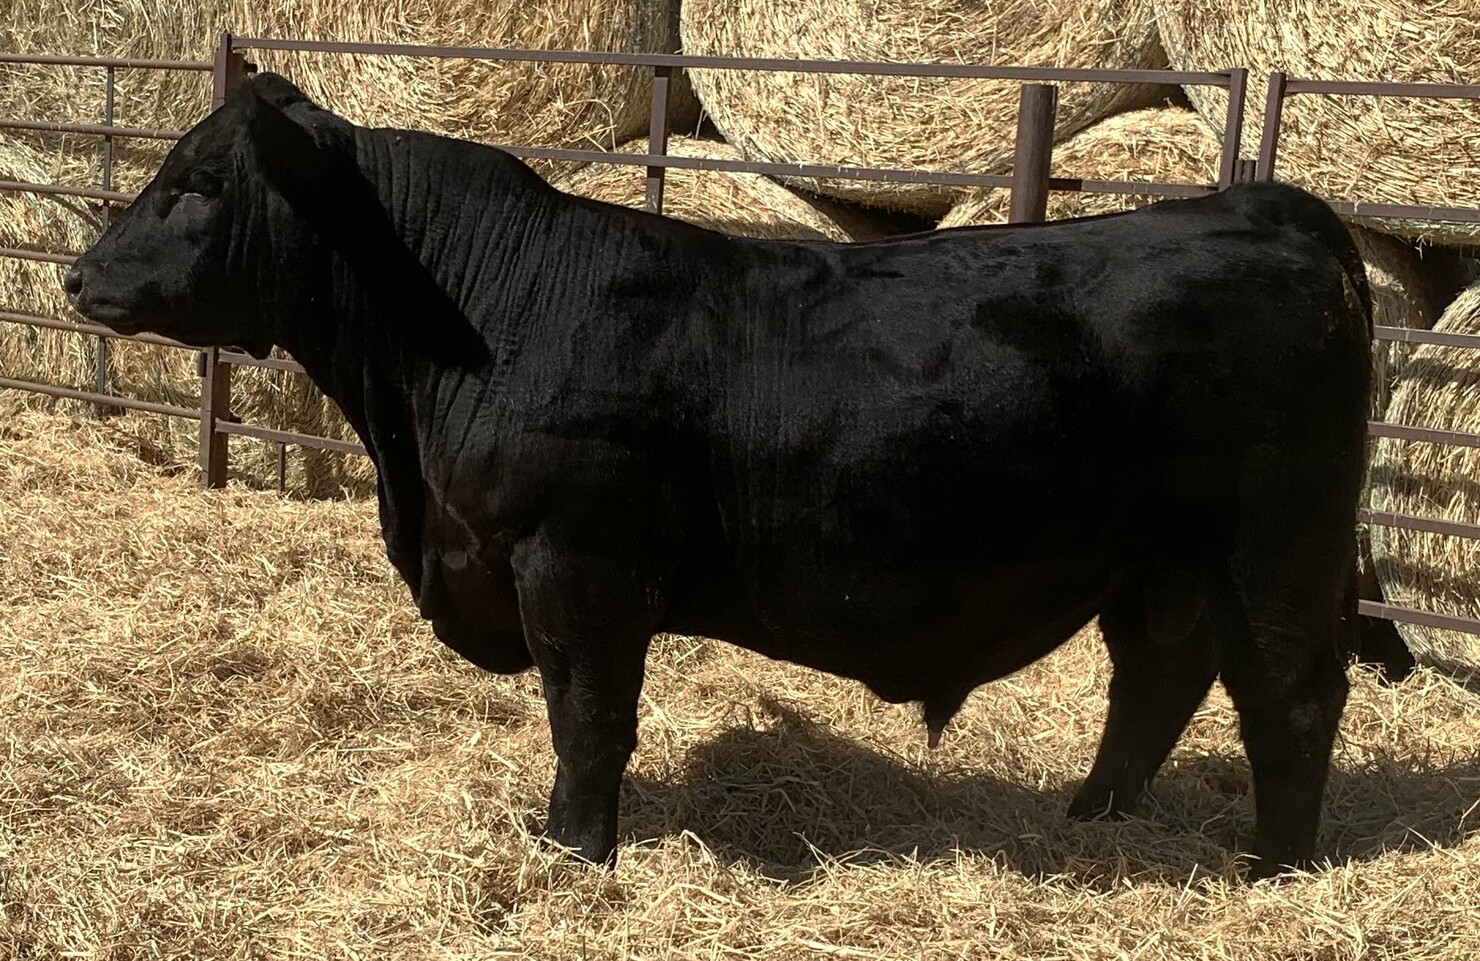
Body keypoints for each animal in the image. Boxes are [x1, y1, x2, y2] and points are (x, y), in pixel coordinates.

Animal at [64, 72, 1372, 880]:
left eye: (196, 184)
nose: (77, 276)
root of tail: (1263, 205)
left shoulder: (577, 564)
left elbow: (589, 715)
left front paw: (572, 848)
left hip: (1274, 546)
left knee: (1290, 696)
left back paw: (1273, 867)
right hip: (1160, 563)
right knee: (1156, 681)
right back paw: (1093, 819)